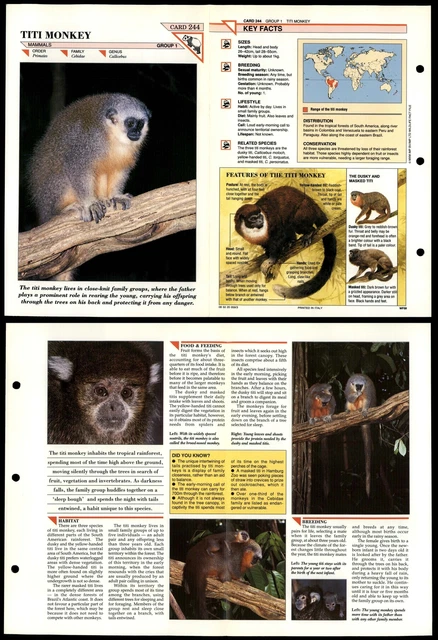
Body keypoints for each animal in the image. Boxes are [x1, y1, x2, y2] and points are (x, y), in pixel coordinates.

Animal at [28, 93, 151, 280]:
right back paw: (66, 208)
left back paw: (105, 199)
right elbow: (76, 165)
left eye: (140, 123)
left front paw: (116, 196)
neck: (111, 135)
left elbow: (119, 170)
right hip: (49, 198)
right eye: (130, 123)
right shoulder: (89, 141)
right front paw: (89, 204)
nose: (136, 132)